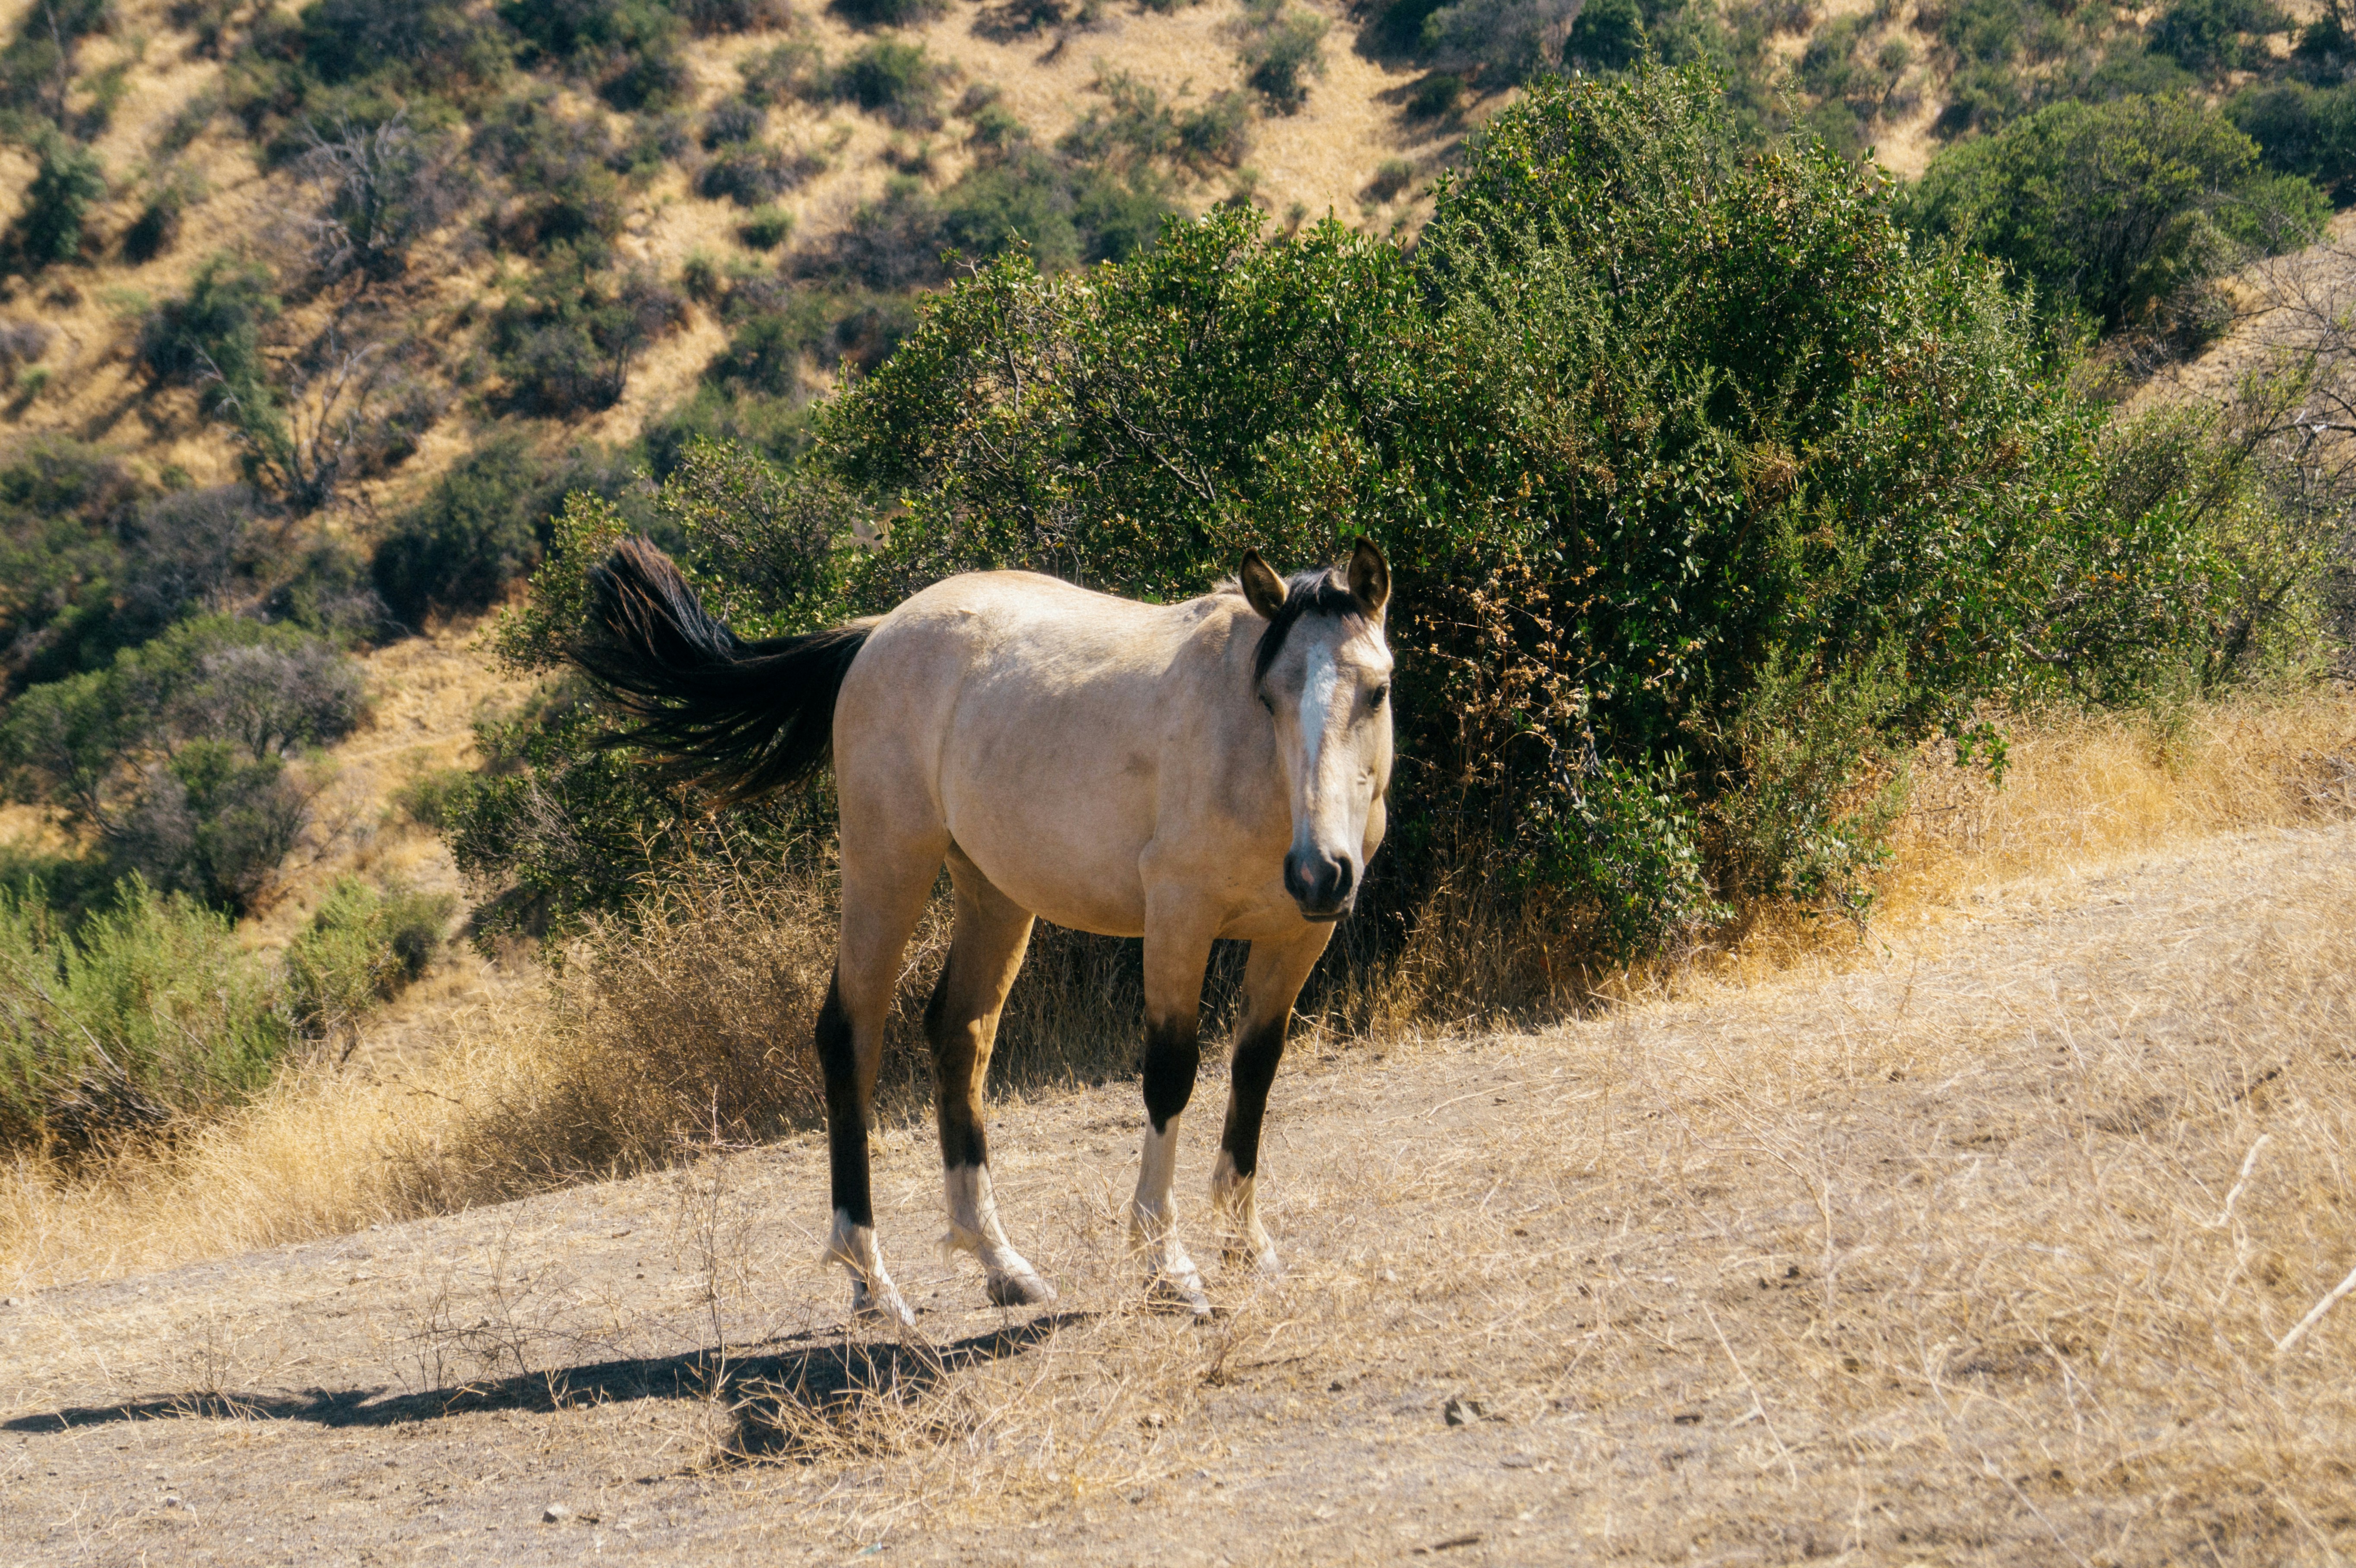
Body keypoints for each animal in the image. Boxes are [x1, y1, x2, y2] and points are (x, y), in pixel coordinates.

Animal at [572, 537, 1395, 1321]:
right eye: (1269, 695)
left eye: (1378, 690)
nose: (1320, 871)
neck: (1255, 767)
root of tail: (879, 631)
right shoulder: (1178, 922)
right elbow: (1171, 1075)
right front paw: (1169, 1268)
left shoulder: (1296, 937)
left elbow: (1255, 1070)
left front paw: (1247, 1246)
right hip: (888, 868)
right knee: (849, 1036)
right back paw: (872, 1281)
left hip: (994, 896)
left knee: (959, 1035)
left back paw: (1001, 1263)